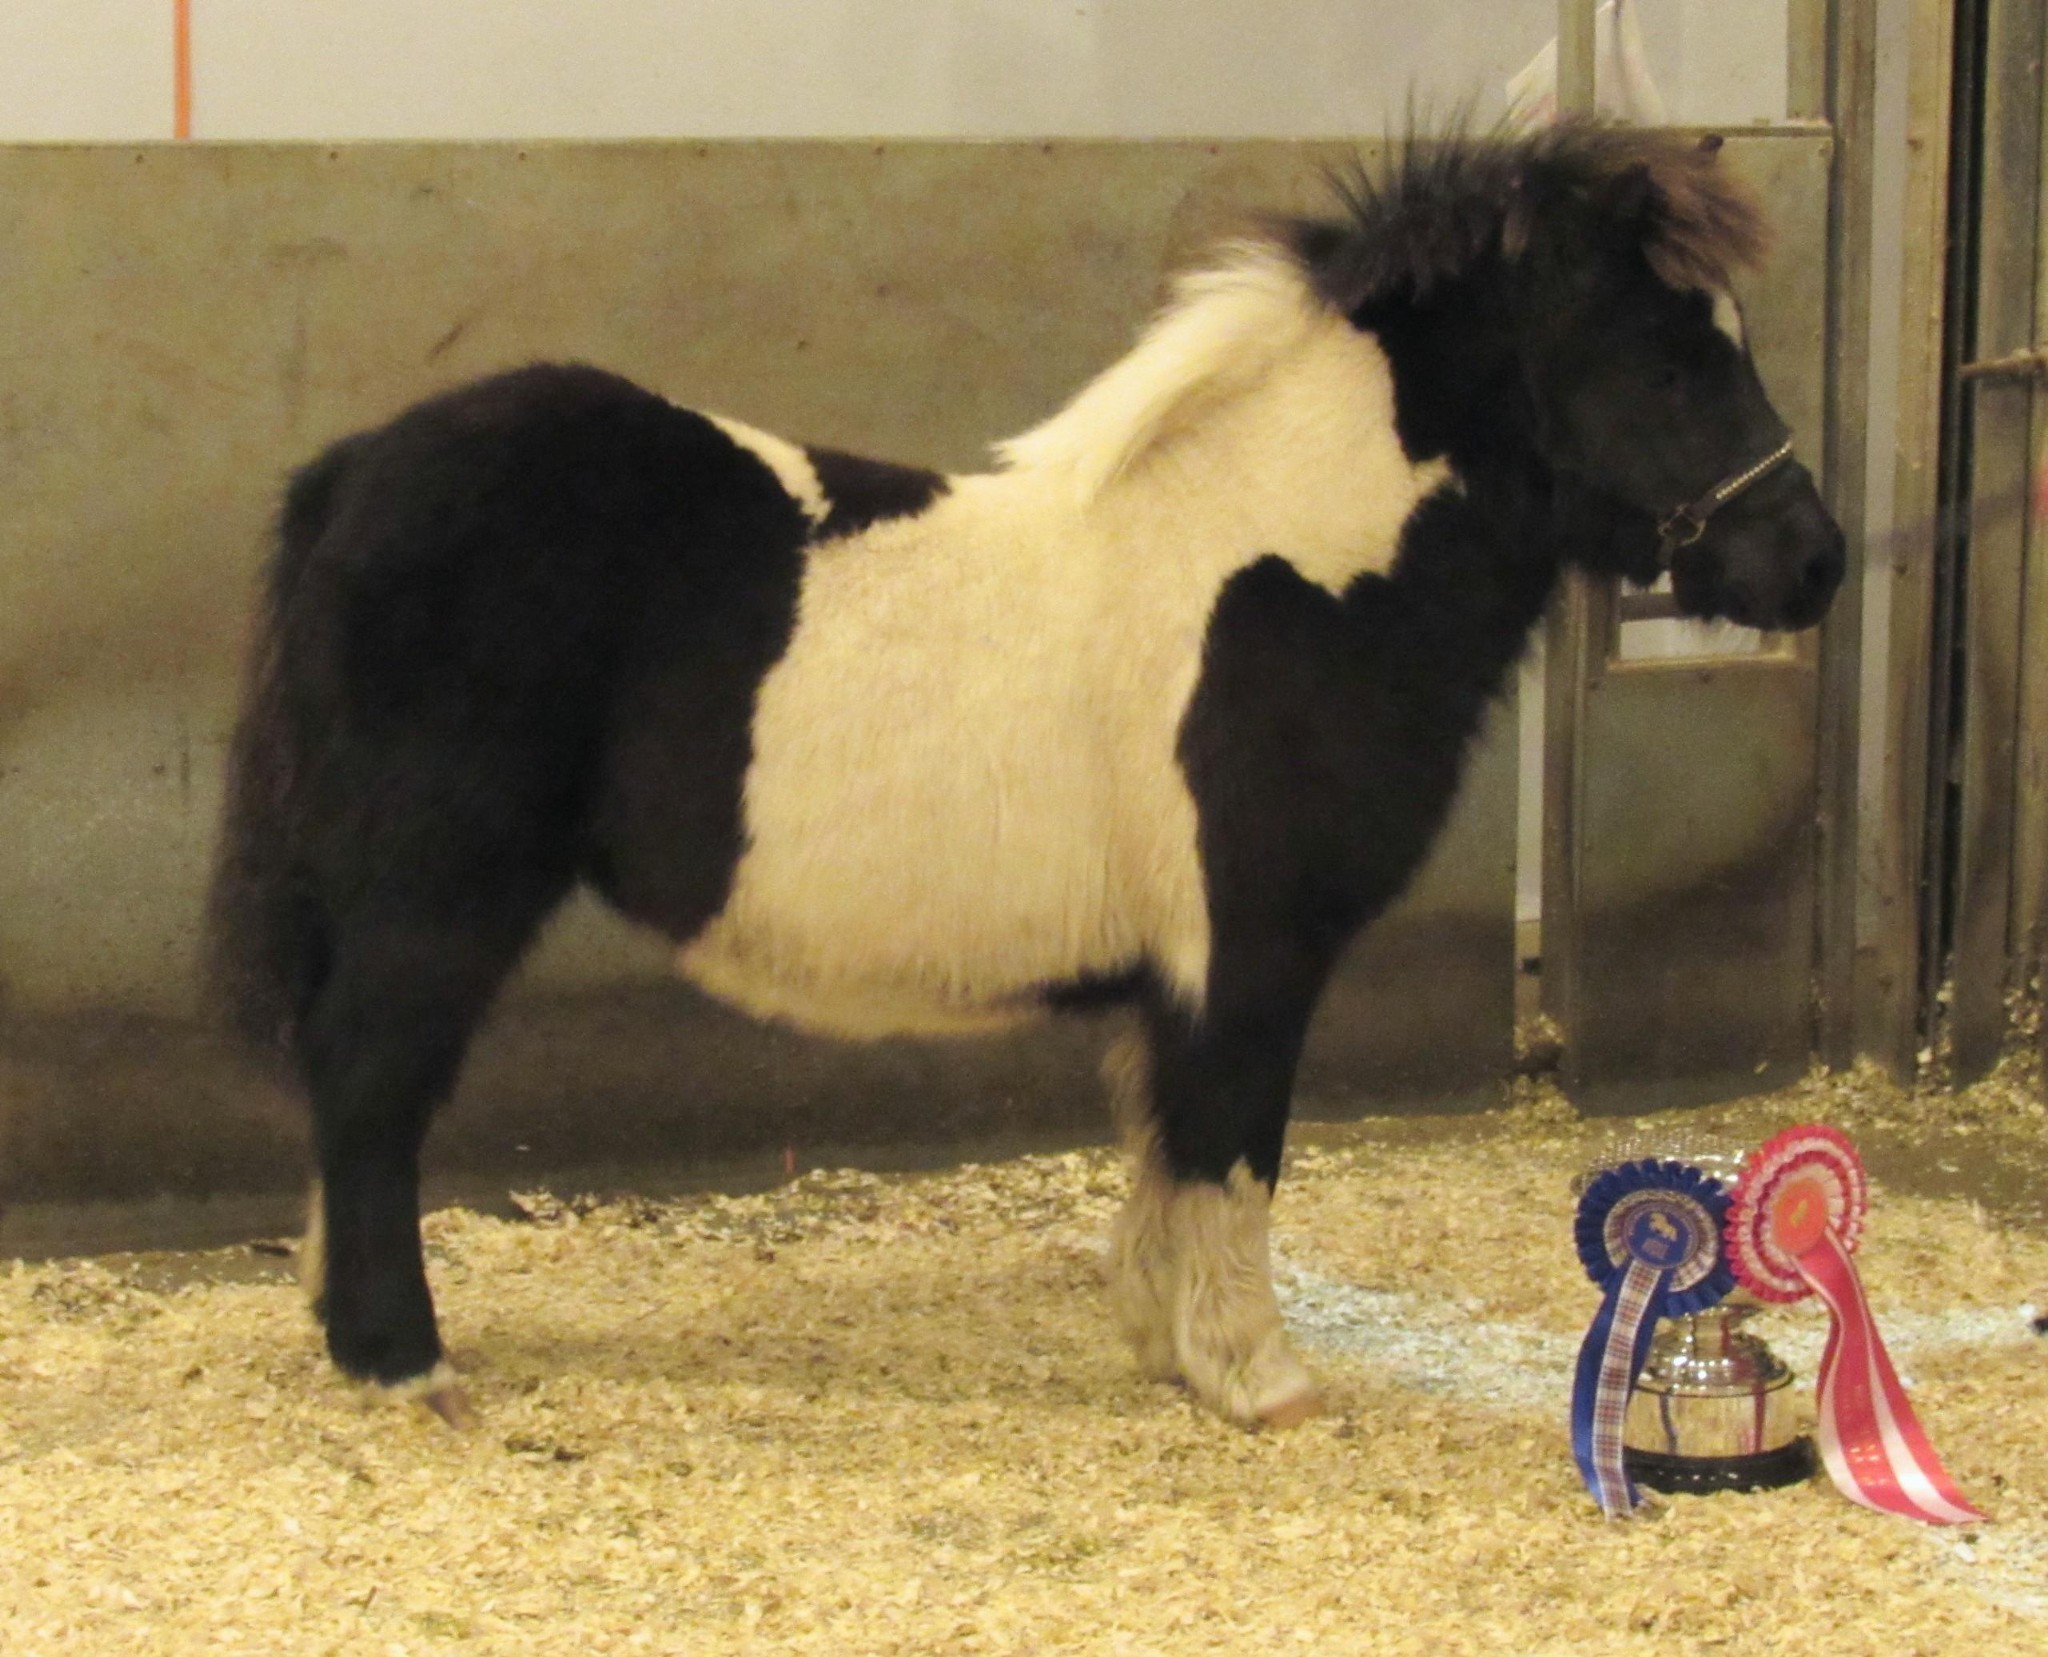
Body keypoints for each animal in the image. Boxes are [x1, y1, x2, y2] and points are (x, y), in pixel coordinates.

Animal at [208, 123, 1844, 1431]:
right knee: (369, 1082)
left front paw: (1167, 1345)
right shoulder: (1252, 954)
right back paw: (399, 1360)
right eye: (1669, 356)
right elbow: (1235, 1152)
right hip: (441, 890)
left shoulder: (1177, 972)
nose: (1813, 560)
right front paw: (1260, 1379)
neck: (1287, 566)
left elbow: (1166, 1149)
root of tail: (354, 472)